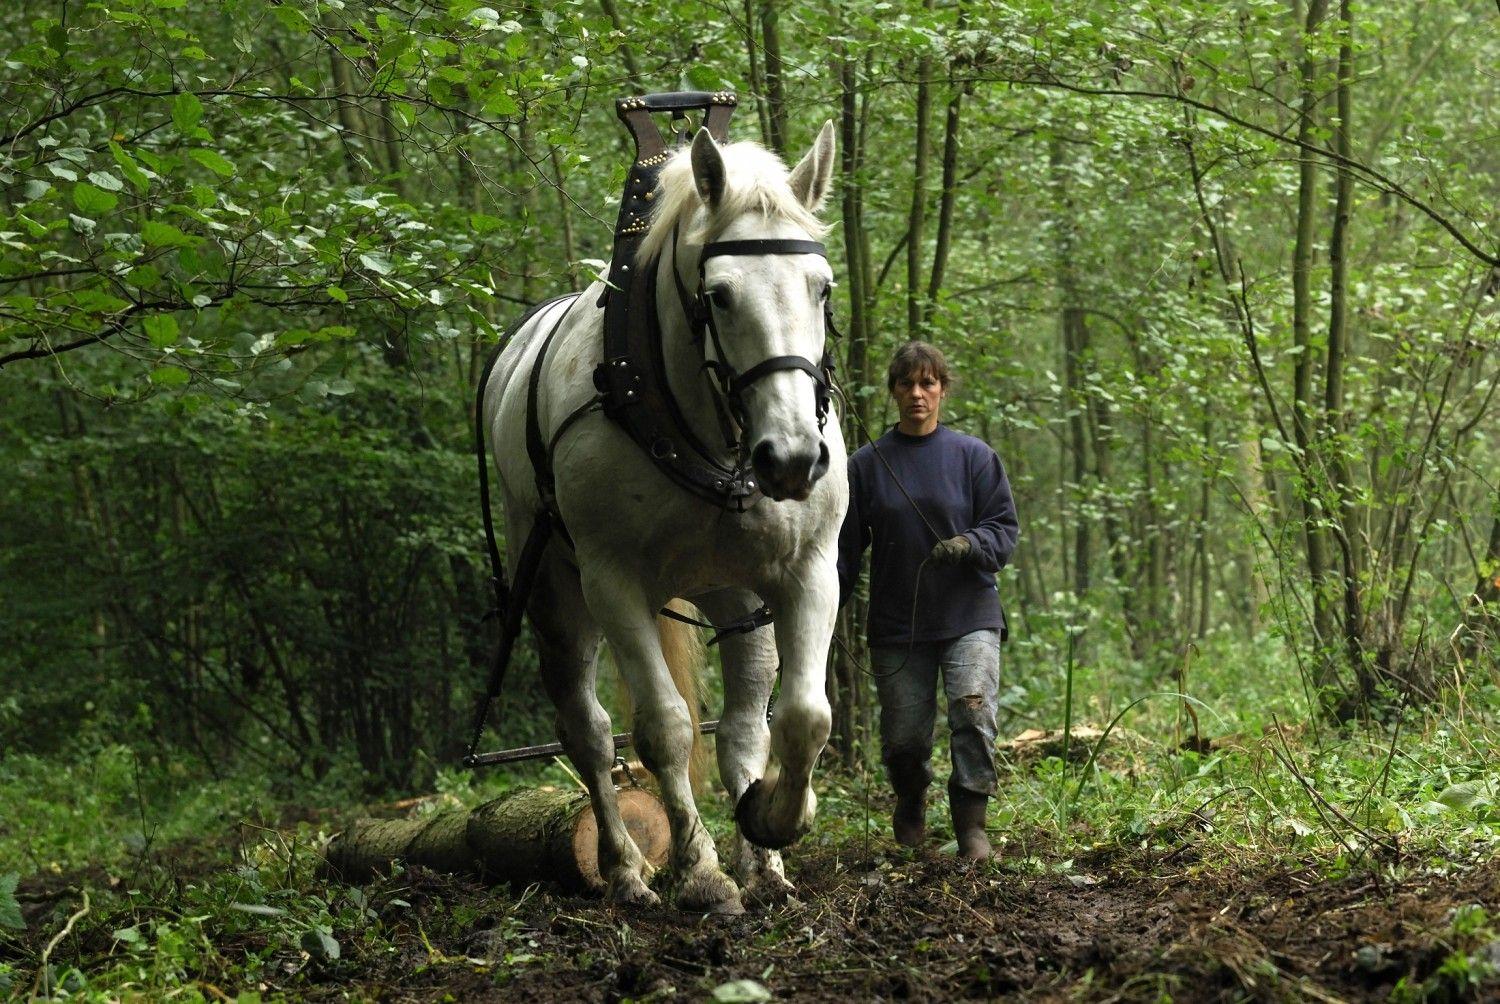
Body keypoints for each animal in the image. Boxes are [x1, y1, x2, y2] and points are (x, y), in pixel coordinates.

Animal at [482, 122, 845, 914]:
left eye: (823, 287)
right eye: (720, 295)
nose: (792, 458)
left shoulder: (809, 570)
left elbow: (804, 717)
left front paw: (772, 817)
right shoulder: (612, 580)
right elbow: (665, 729)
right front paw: (702, 872)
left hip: (733, 593)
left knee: (741, 727)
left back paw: (762, 864)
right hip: (555, 589)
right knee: (589, 733)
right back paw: (625, 869)